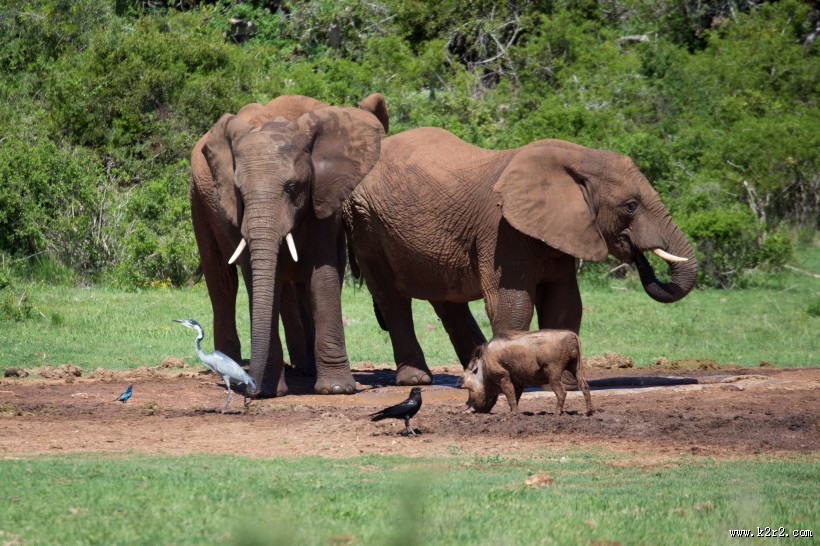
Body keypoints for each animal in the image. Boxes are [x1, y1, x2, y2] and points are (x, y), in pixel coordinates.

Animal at [190, 94, 388, 397]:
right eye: (239, 192)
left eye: (293, 187)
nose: (252, 390)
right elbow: (258, 277)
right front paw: (270, 390)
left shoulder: (324, 196)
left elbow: (322, 274)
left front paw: (336, 389)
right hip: (199, 202)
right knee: (222, 281)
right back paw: (227, 364)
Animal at [343, 127, 697, 385]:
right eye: (631, 206)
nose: (638, 256)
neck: (578, 158)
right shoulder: (502, 231)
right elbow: (513, 303)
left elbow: (565, 303)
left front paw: (563, 381)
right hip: (365, 223)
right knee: (392, 298)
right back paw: (416, 380)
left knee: (445, 299)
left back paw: (473, 370)